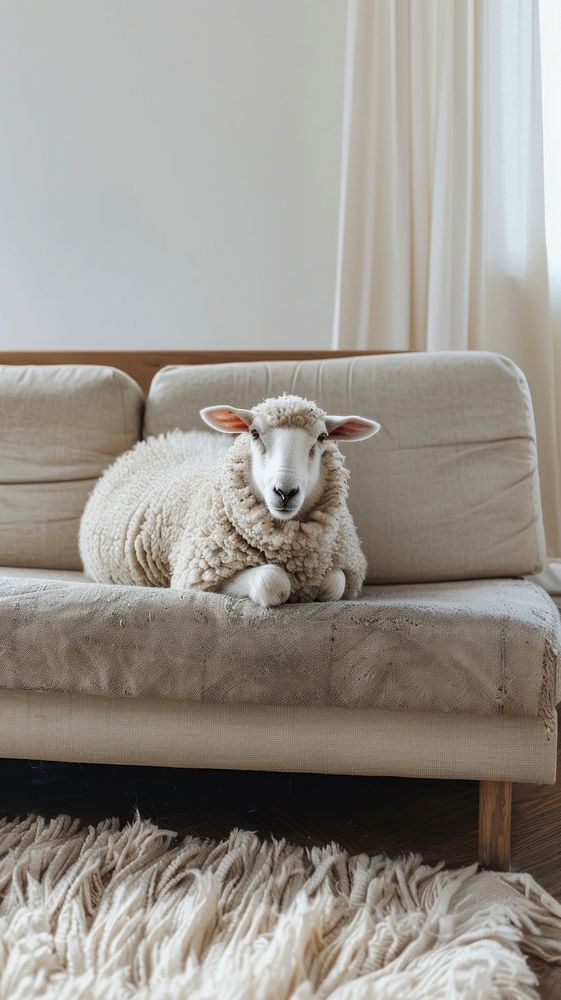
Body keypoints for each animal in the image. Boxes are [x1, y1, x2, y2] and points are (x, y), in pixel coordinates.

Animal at [79, 394, 380, 607]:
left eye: (322, 437)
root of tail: (166, 437)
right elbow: (273, 581)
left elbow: (333, 583)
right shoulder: (200, 576)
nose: (284, 492)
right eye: (254, 433)